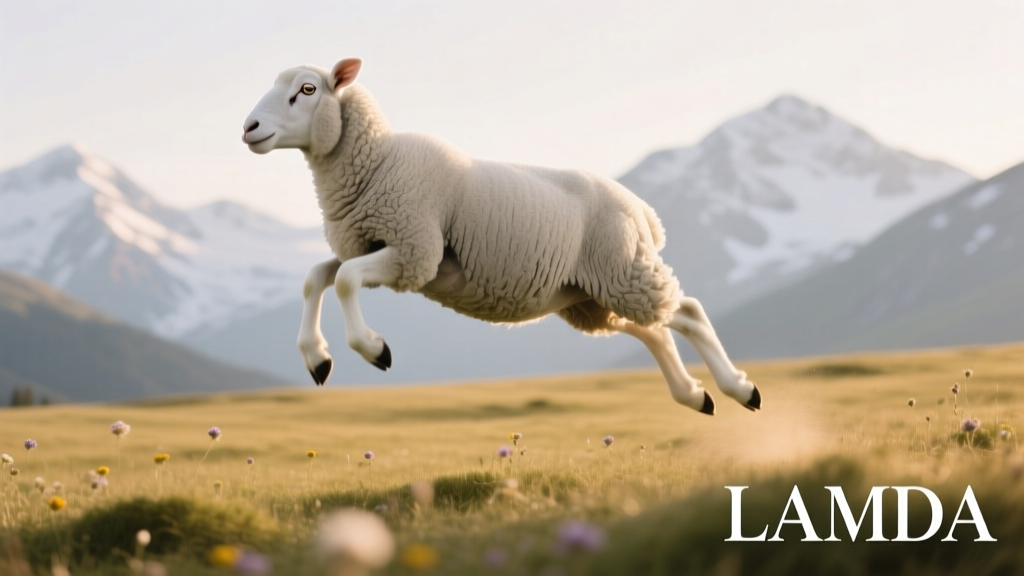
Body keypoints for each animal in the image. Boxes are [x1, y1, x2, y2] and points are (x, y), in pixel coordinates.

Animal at [241, 57, 760, 416]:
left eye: (307, 89)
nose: (249, 128)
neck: (377, 163)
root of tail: (645, 211)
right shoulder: (370, 244)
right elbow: (316, 277)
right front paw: (317, 359)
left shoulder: (414, 251)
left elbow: (346, 280)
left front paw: (374, 349)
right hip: (591, 295)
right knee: (654, 330)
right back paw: (695, 396)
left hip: (622, 269)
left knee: (688, 312)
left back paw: (741, 389)